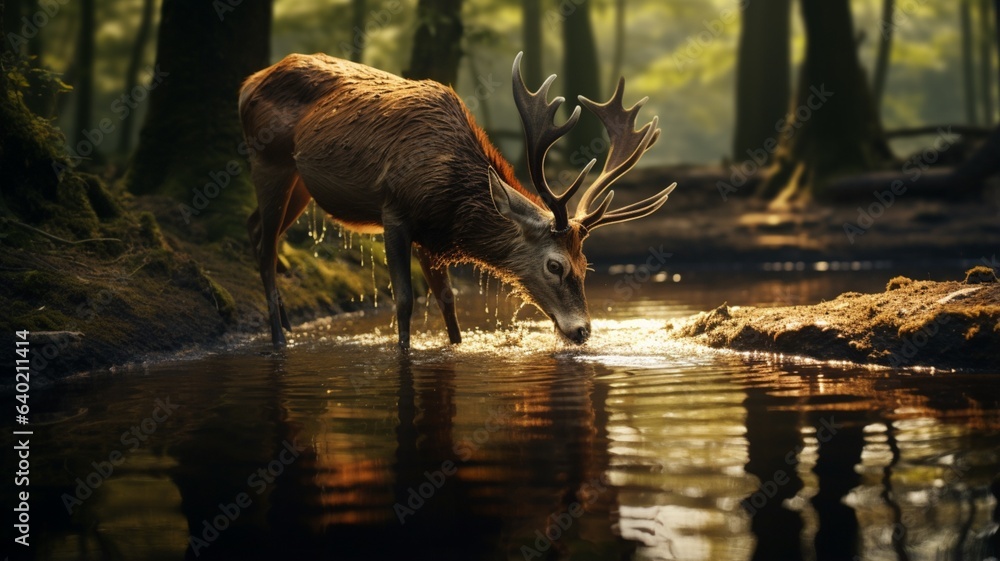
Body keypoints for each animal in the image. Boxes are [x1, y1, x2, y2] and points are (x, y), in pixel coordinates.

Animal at [240, 52, 676, 350]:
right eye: (555, 265)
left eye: (587, 264)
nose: (582, 330)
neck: (449, 195)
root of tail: (247, 83)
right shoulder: (395, 212)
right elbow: (404, 300)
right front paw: (403, 350)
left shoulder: (431, 238)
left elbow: (447, 302)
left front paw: (455, 344)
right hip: (269, 159)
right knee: (265, 245)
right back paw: (278, 339)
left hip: (299, 183)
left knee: (257, 228)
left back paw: (286, 324)